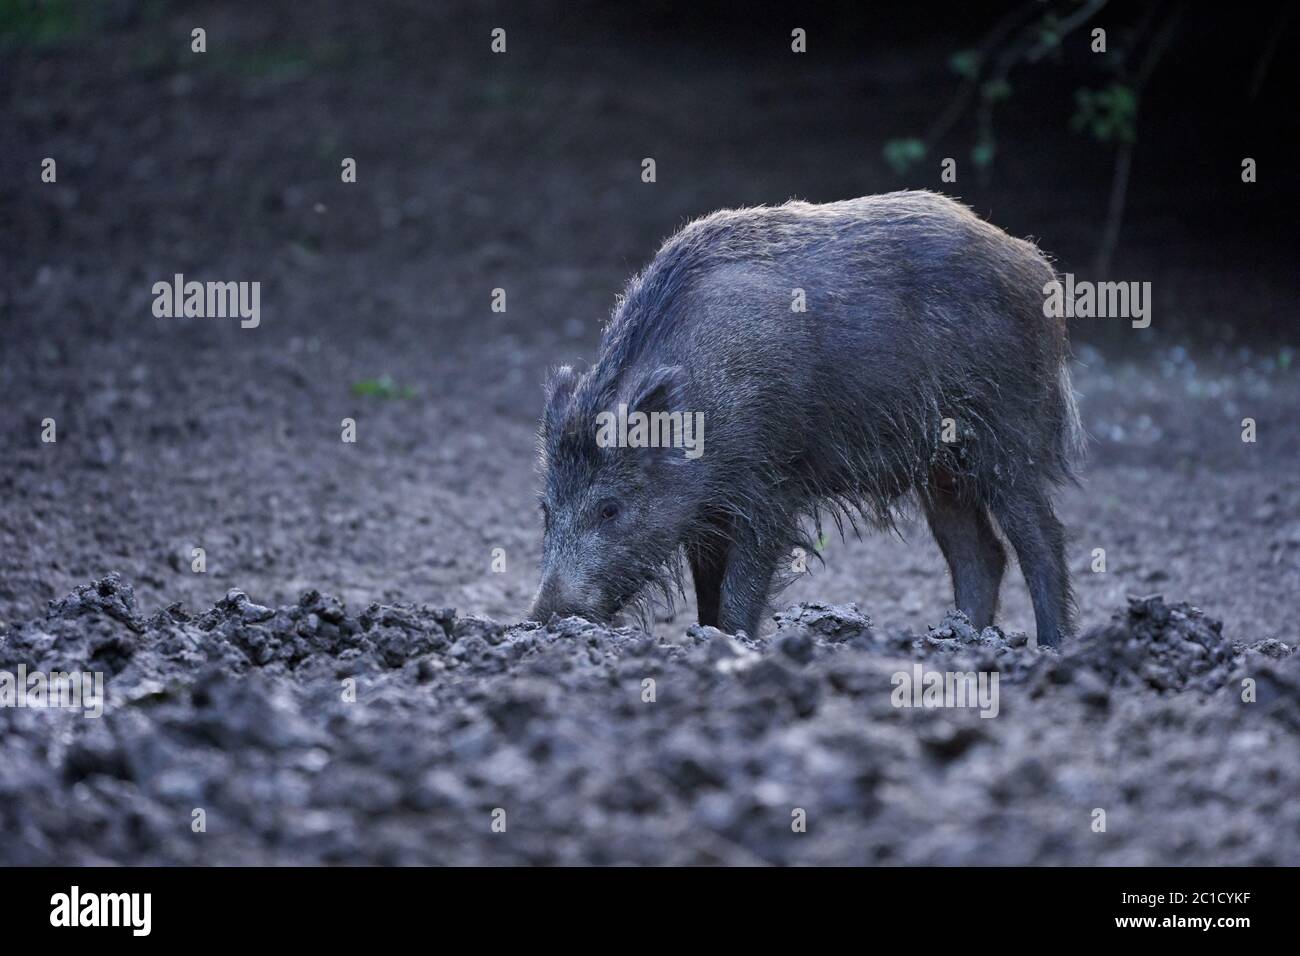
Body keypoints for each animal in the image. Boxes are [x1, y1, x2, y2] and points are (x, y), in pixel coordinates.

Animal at [529, 190, 1084, 646]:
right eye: (546, 510)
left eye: (610, 509)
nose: (544, 618)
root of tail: (1038, 265)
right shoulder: (704, 512)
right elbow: (707, 587)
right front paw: (706, 638)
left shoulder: (771, 486)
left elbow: (742, 585)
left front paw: (733, 641)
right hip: (940, 468)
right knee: (980, 553)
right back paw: (957, 639)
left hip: (1007, 433)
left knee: (1041, 537)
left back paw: (1052, 646)